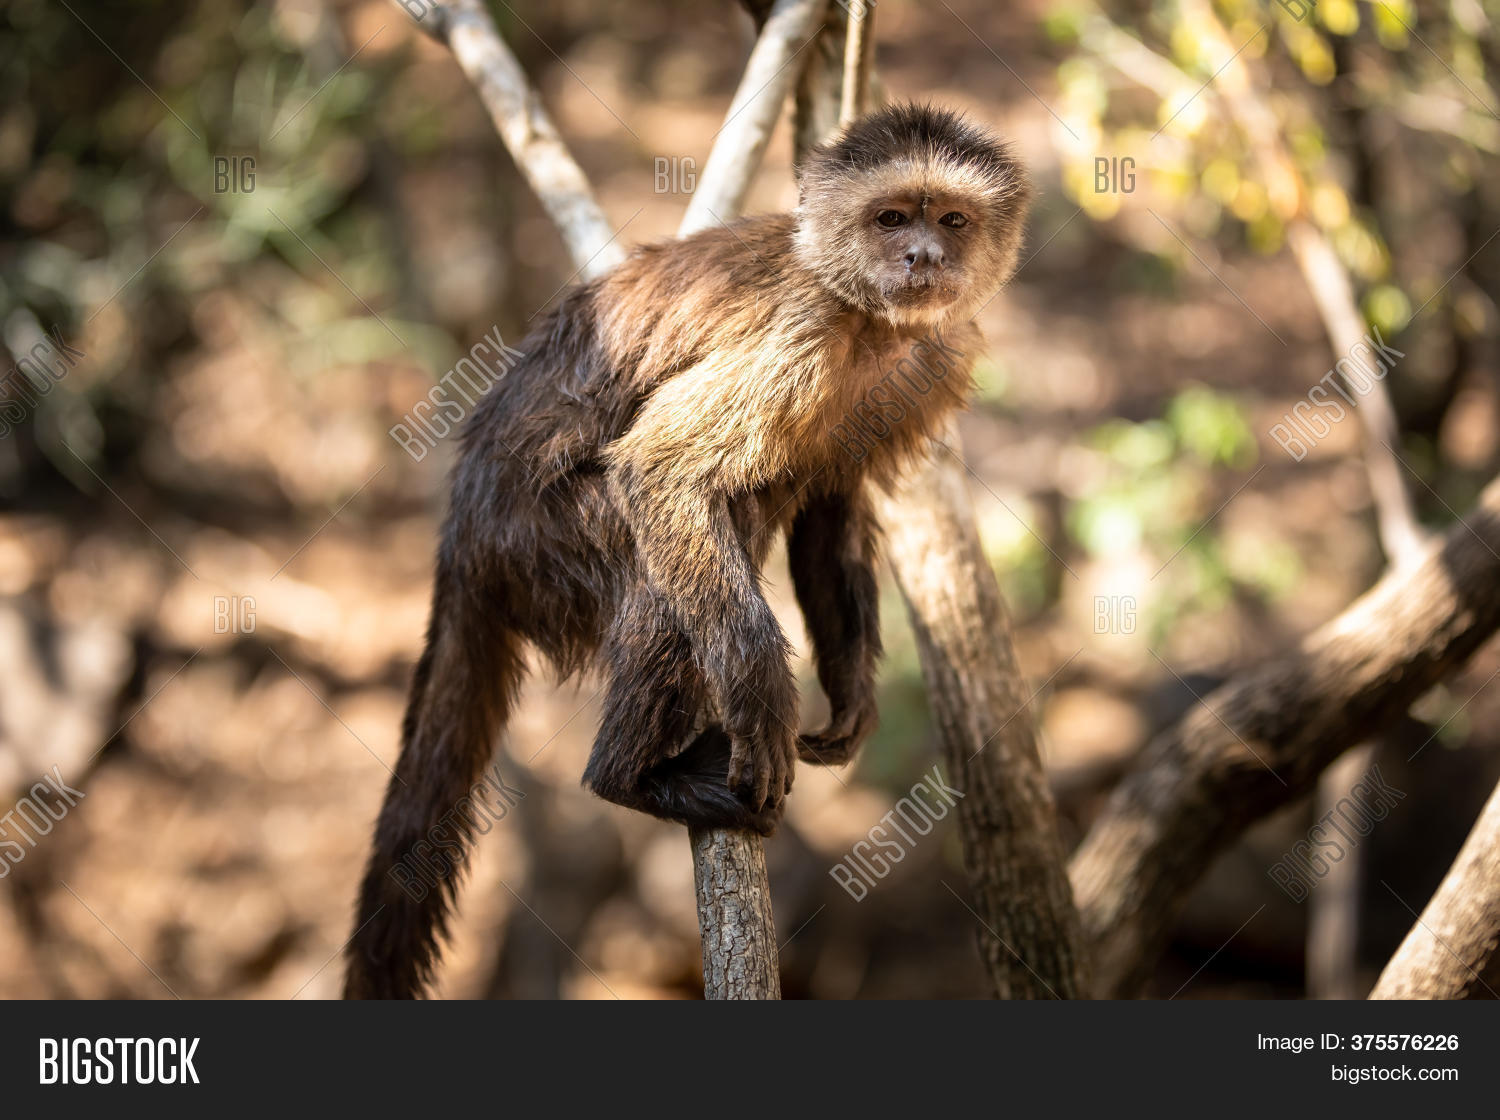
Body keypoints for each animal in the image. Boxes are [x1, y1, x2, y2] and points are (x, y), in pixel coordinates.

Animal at [344, 103, 1030, 998]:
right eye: (890, 219)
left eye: (949, 219)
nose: (922, 256)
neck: (871, 322)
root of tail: (460, 527)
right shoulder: (802, 336)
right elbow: (659, 467)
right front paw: (762, 693)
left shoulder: (932, 364)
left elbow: (832, 507)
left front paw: (849, 698)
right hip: (530, 536)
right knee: (665, 562)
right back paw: (632, 779)